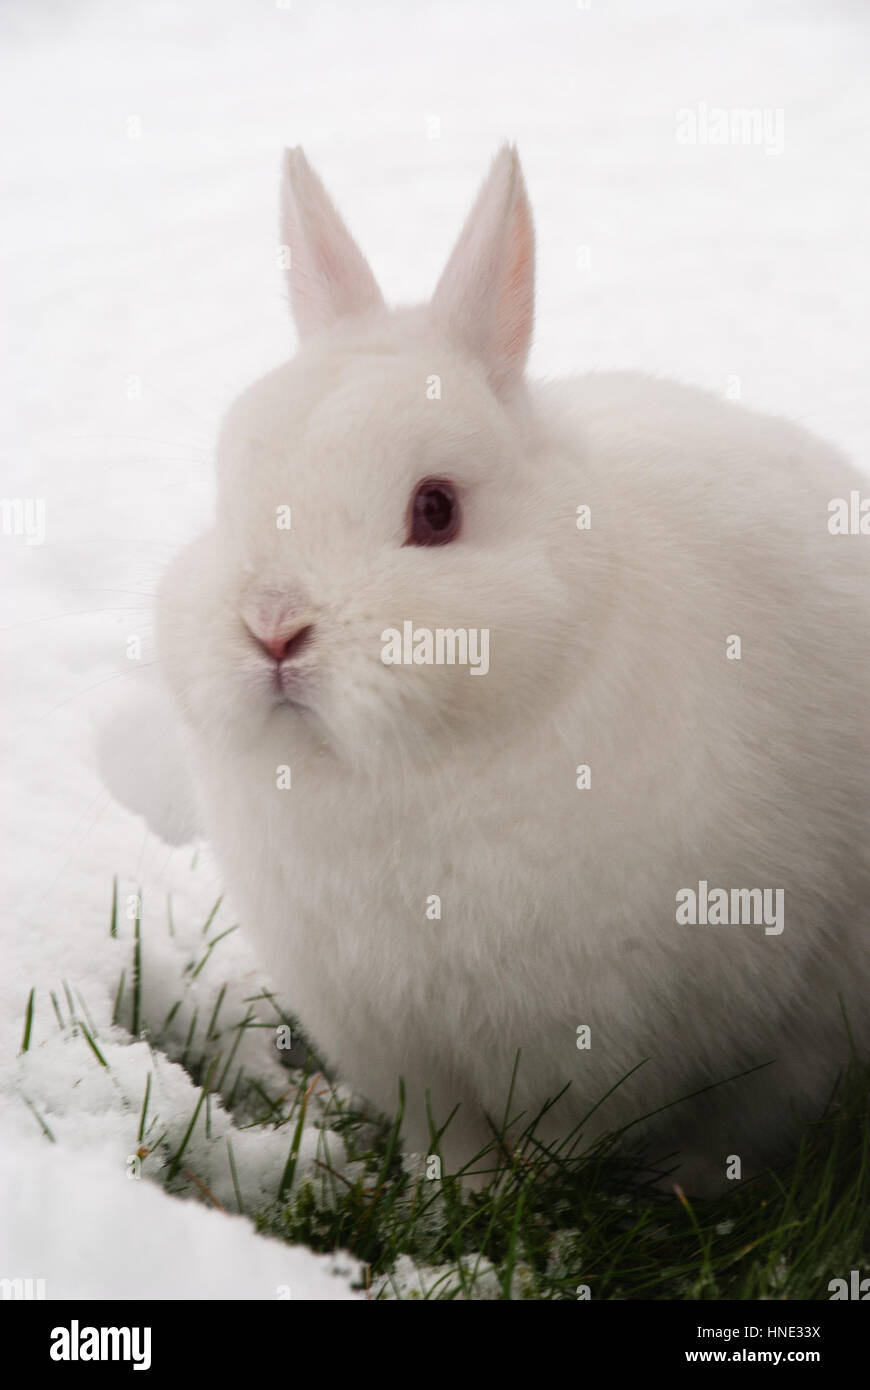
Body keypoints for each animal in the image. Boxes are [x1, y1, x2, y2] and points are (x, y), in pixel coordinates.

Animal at [156, 144, 870, 1192]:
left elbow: (563, 1139)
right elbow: (451, 1140)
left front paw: (529, 1194)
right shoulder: (406, 1048)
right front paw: (455, 1198)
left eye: (437, 509)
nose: (273, 628)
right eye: (229, 489)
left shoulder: (586, 1046)